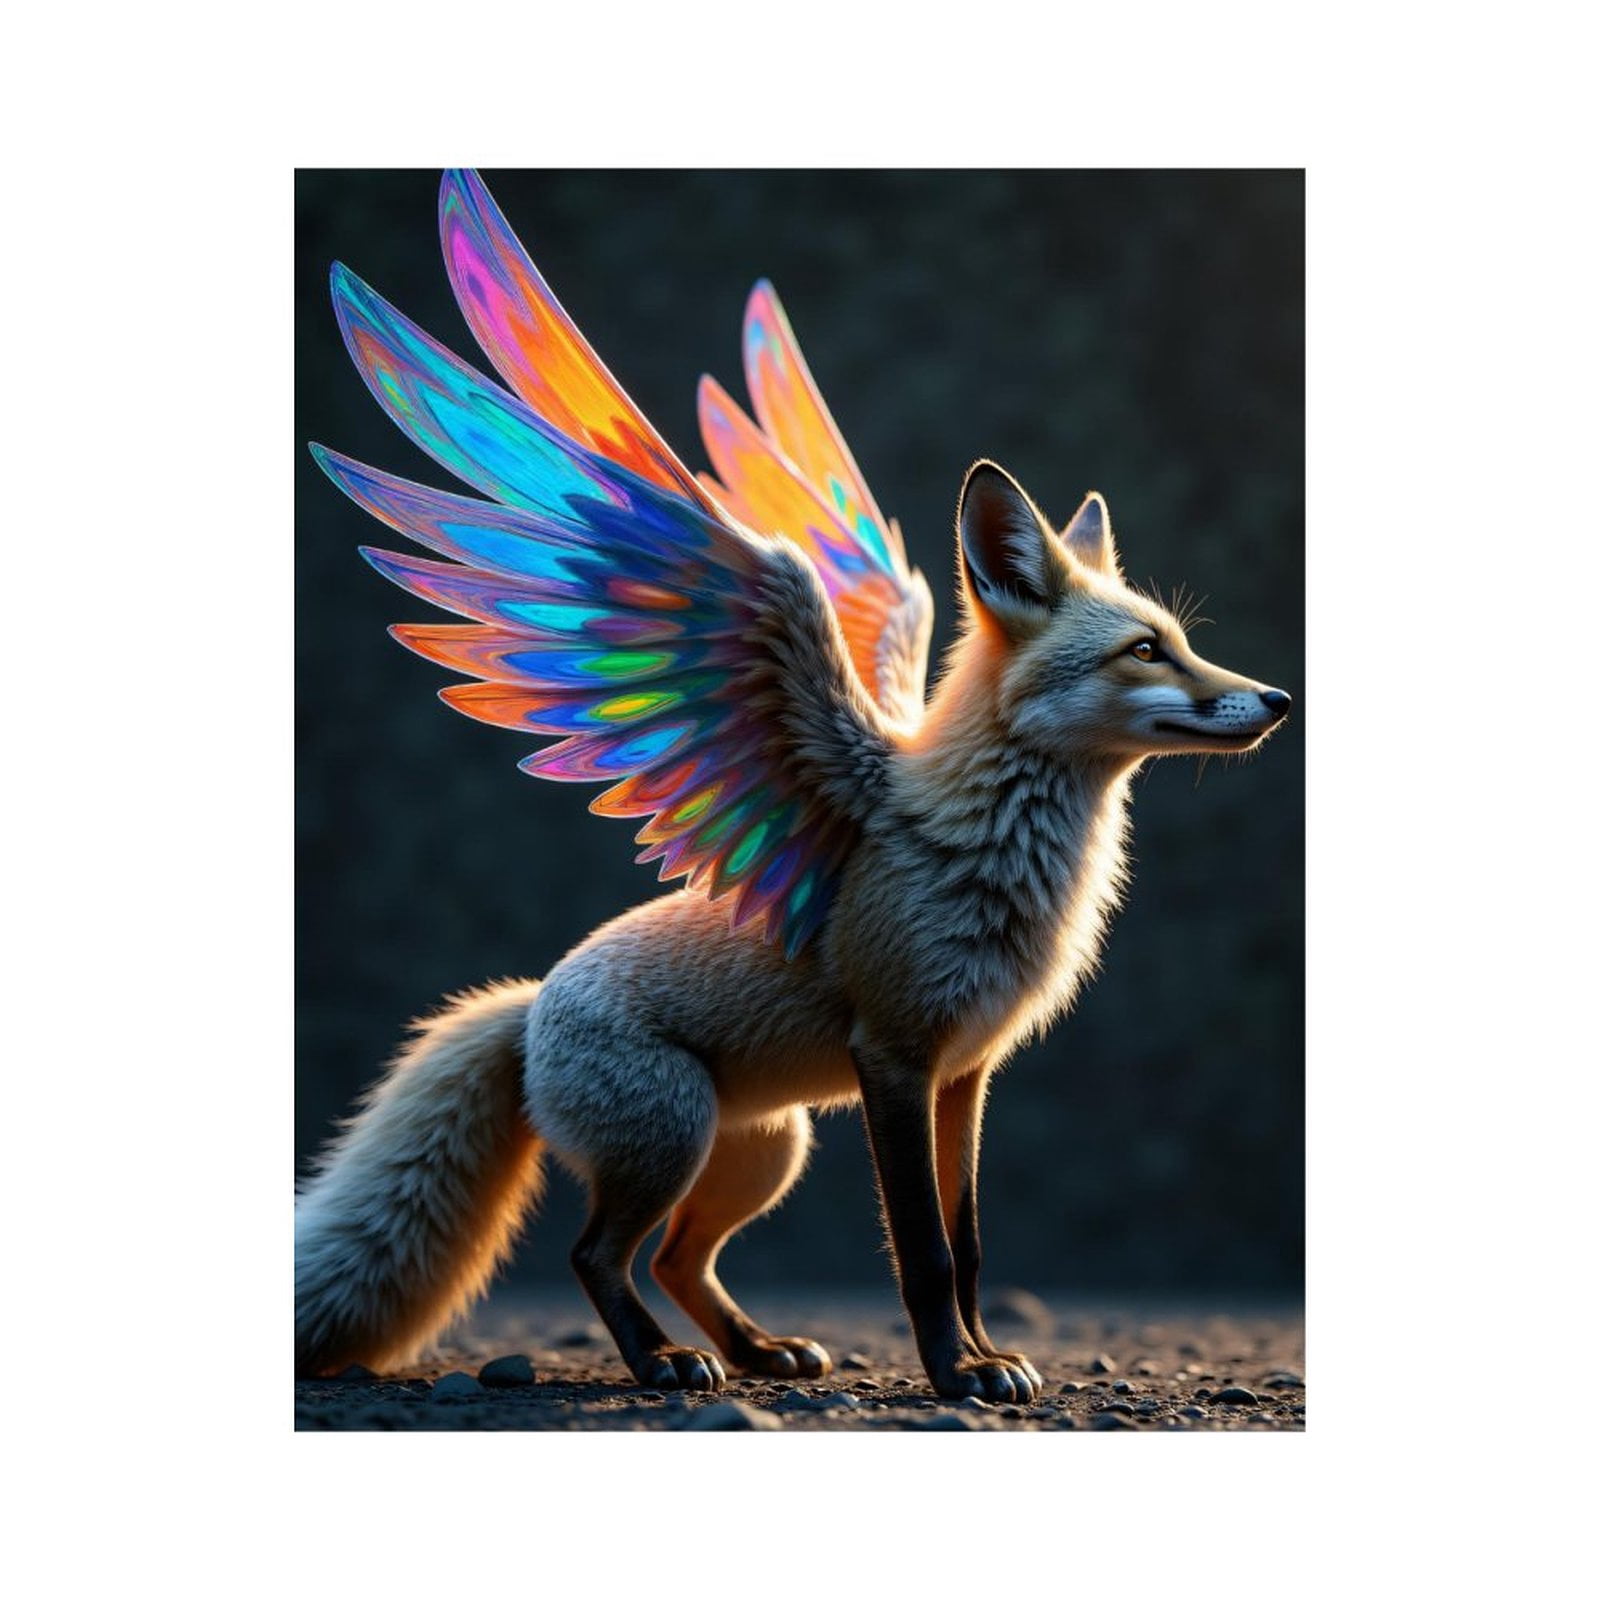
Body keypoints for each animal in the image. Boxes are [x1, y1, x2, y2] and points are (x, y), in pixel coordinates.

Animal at [296, 170, 1292, 1404]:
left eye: (1181, 643)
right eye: (1146, 650)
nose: (1277, 699)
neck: (996, 855)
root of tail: (527, 1008)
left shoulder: (967, 1075)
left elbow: (969, 1244)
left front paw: (986, 1359)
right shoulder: (895, 1060)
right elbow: (921, 1248)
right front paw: (954, 1376)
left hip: (765, 1150)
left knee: (676, 1255)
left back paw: (757, 1351)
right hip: (677, 1136)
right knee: (596, 1252)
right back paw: (662, 1363)